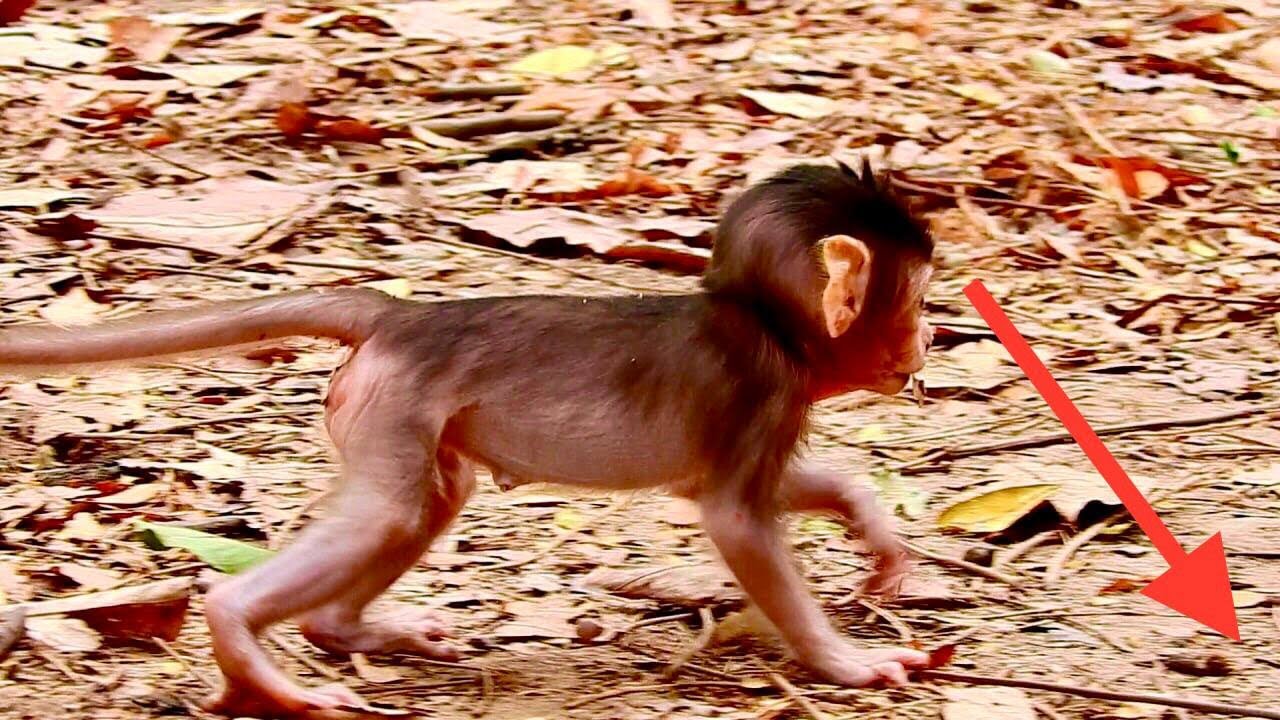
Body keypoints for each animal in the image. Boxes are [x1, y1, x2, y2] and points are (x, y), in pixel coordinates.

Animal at [0, 161, 936, 719]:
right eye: (918, 300)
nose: (928, 341)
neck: (767, 323)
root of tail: (402, 317)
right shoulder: (762, 392)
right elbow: (736, 519)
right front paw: (843, 661)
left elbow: (739, 490)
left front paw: (873, 530)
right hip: (391, 405)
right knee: (390, 511)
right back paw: (247, 649)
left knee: (431, 502)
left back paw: (348, 632)